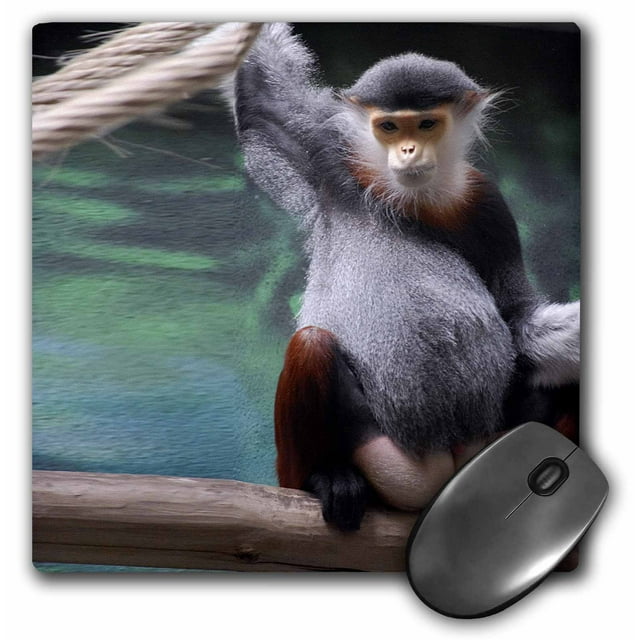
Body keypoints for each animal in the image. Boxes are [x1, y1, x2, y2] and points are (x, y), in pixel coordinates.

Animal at [226, 24, 580, 531]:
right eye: (390, 127)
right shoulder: (329, 154)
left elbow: (517, 317)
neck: (416, 199)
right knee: (312, 344)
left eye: (427, 124)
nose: (408, 150)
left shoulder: (487, 204)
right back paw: (322, 479)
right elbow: (259, 100)